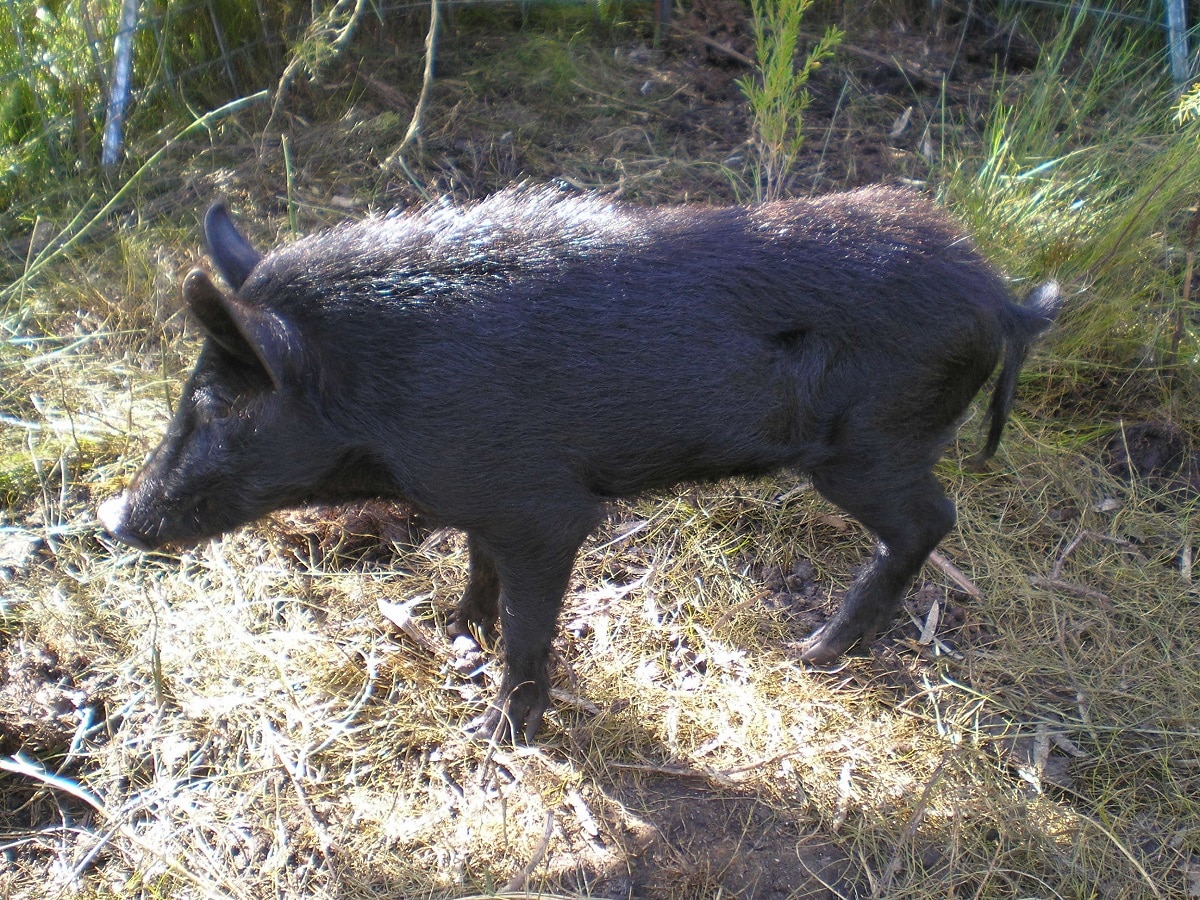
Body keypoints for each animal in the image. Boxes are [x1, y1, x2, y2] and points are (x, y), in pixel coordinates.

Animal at [98, 185, 1062, 742]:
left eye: (217, 405)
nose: (115, 522)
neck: (381, 389)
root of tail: (1004, 301)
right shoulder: (484, 500)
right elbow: (477, 569)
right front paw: (453, 631)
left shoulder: (544, 509)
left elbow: (531, 624)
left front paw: (495, 737)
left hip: (874, 446)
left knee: (933, 520)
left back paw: (813, 653)